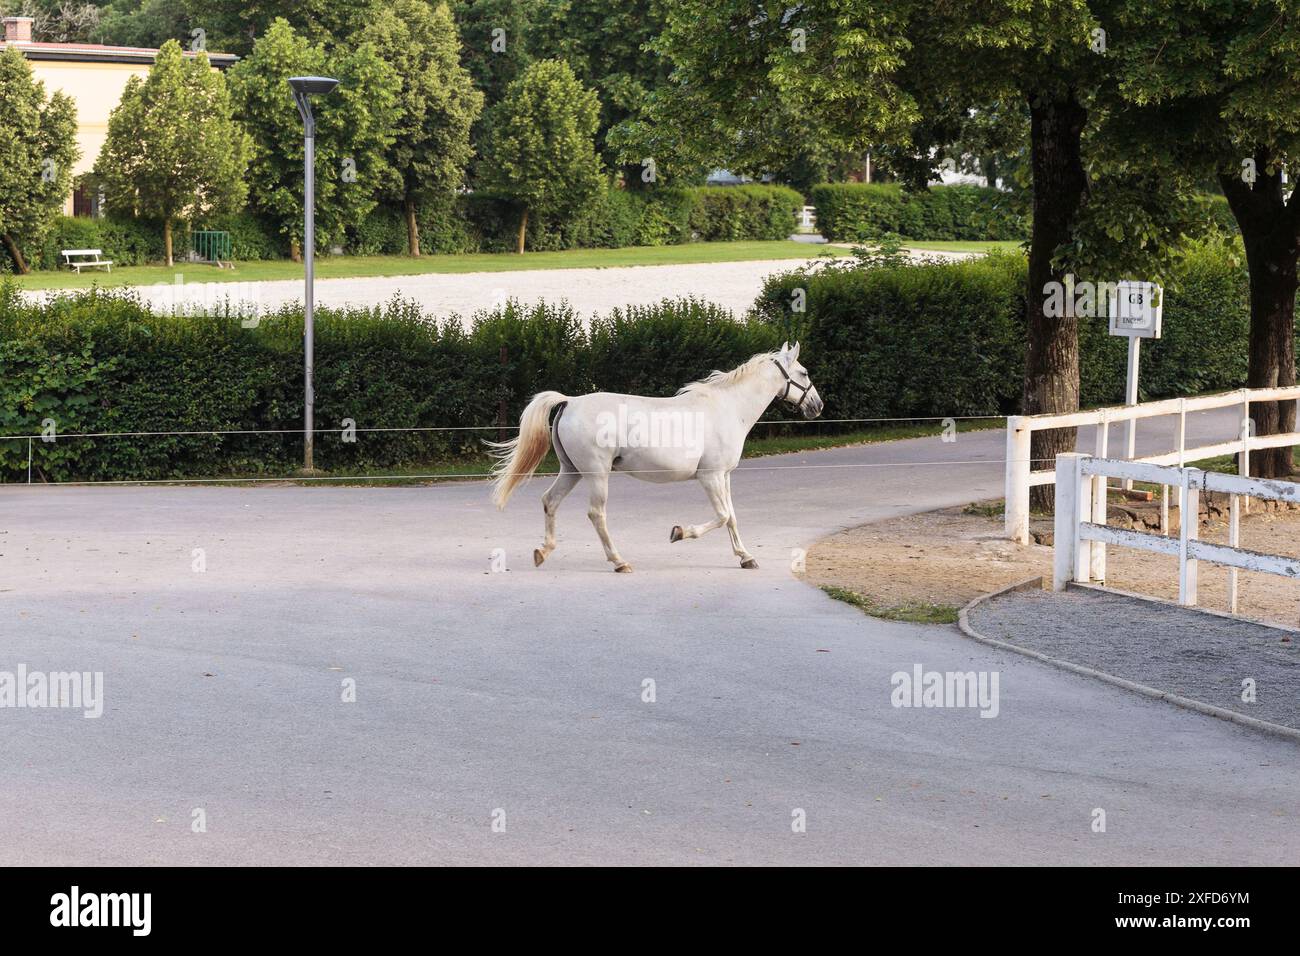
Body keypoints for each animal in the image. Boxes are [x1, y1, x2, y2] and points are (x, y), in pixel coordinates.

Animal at [487, 341, 823, 572]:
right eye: (804, 372)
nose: (817, 406)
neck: (728, 407)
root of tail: (569, 402)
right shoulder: (710, 476)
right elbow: (723, 516)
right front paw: (679, 532)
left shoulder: (724, 476)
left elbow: (732, 516)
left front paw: (746, 557)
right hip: (596, 474)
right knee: (596, 514)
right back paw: (619, 562)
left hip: (571, 471)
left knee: (550, 501)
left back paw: (543, 552)